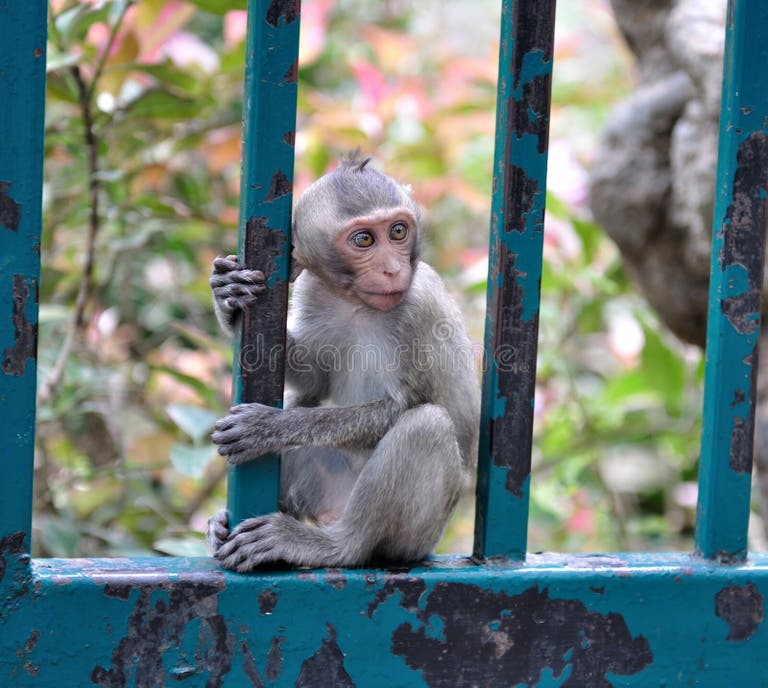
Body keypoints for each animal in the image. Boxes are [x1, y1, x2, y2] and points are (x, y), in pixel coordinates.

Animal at [207, 153, 480, 570]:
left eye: (398, 231)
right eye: (364, 239)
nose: (392, 269)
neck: (354, 302)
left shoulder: (419, 310)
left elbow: (405, 405)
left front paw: (268, 426)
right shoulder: (312, 291)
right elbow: (316, 380)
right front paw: (227, 296)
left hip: (418, 535)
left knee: (426, 425)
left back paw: (336, 545)